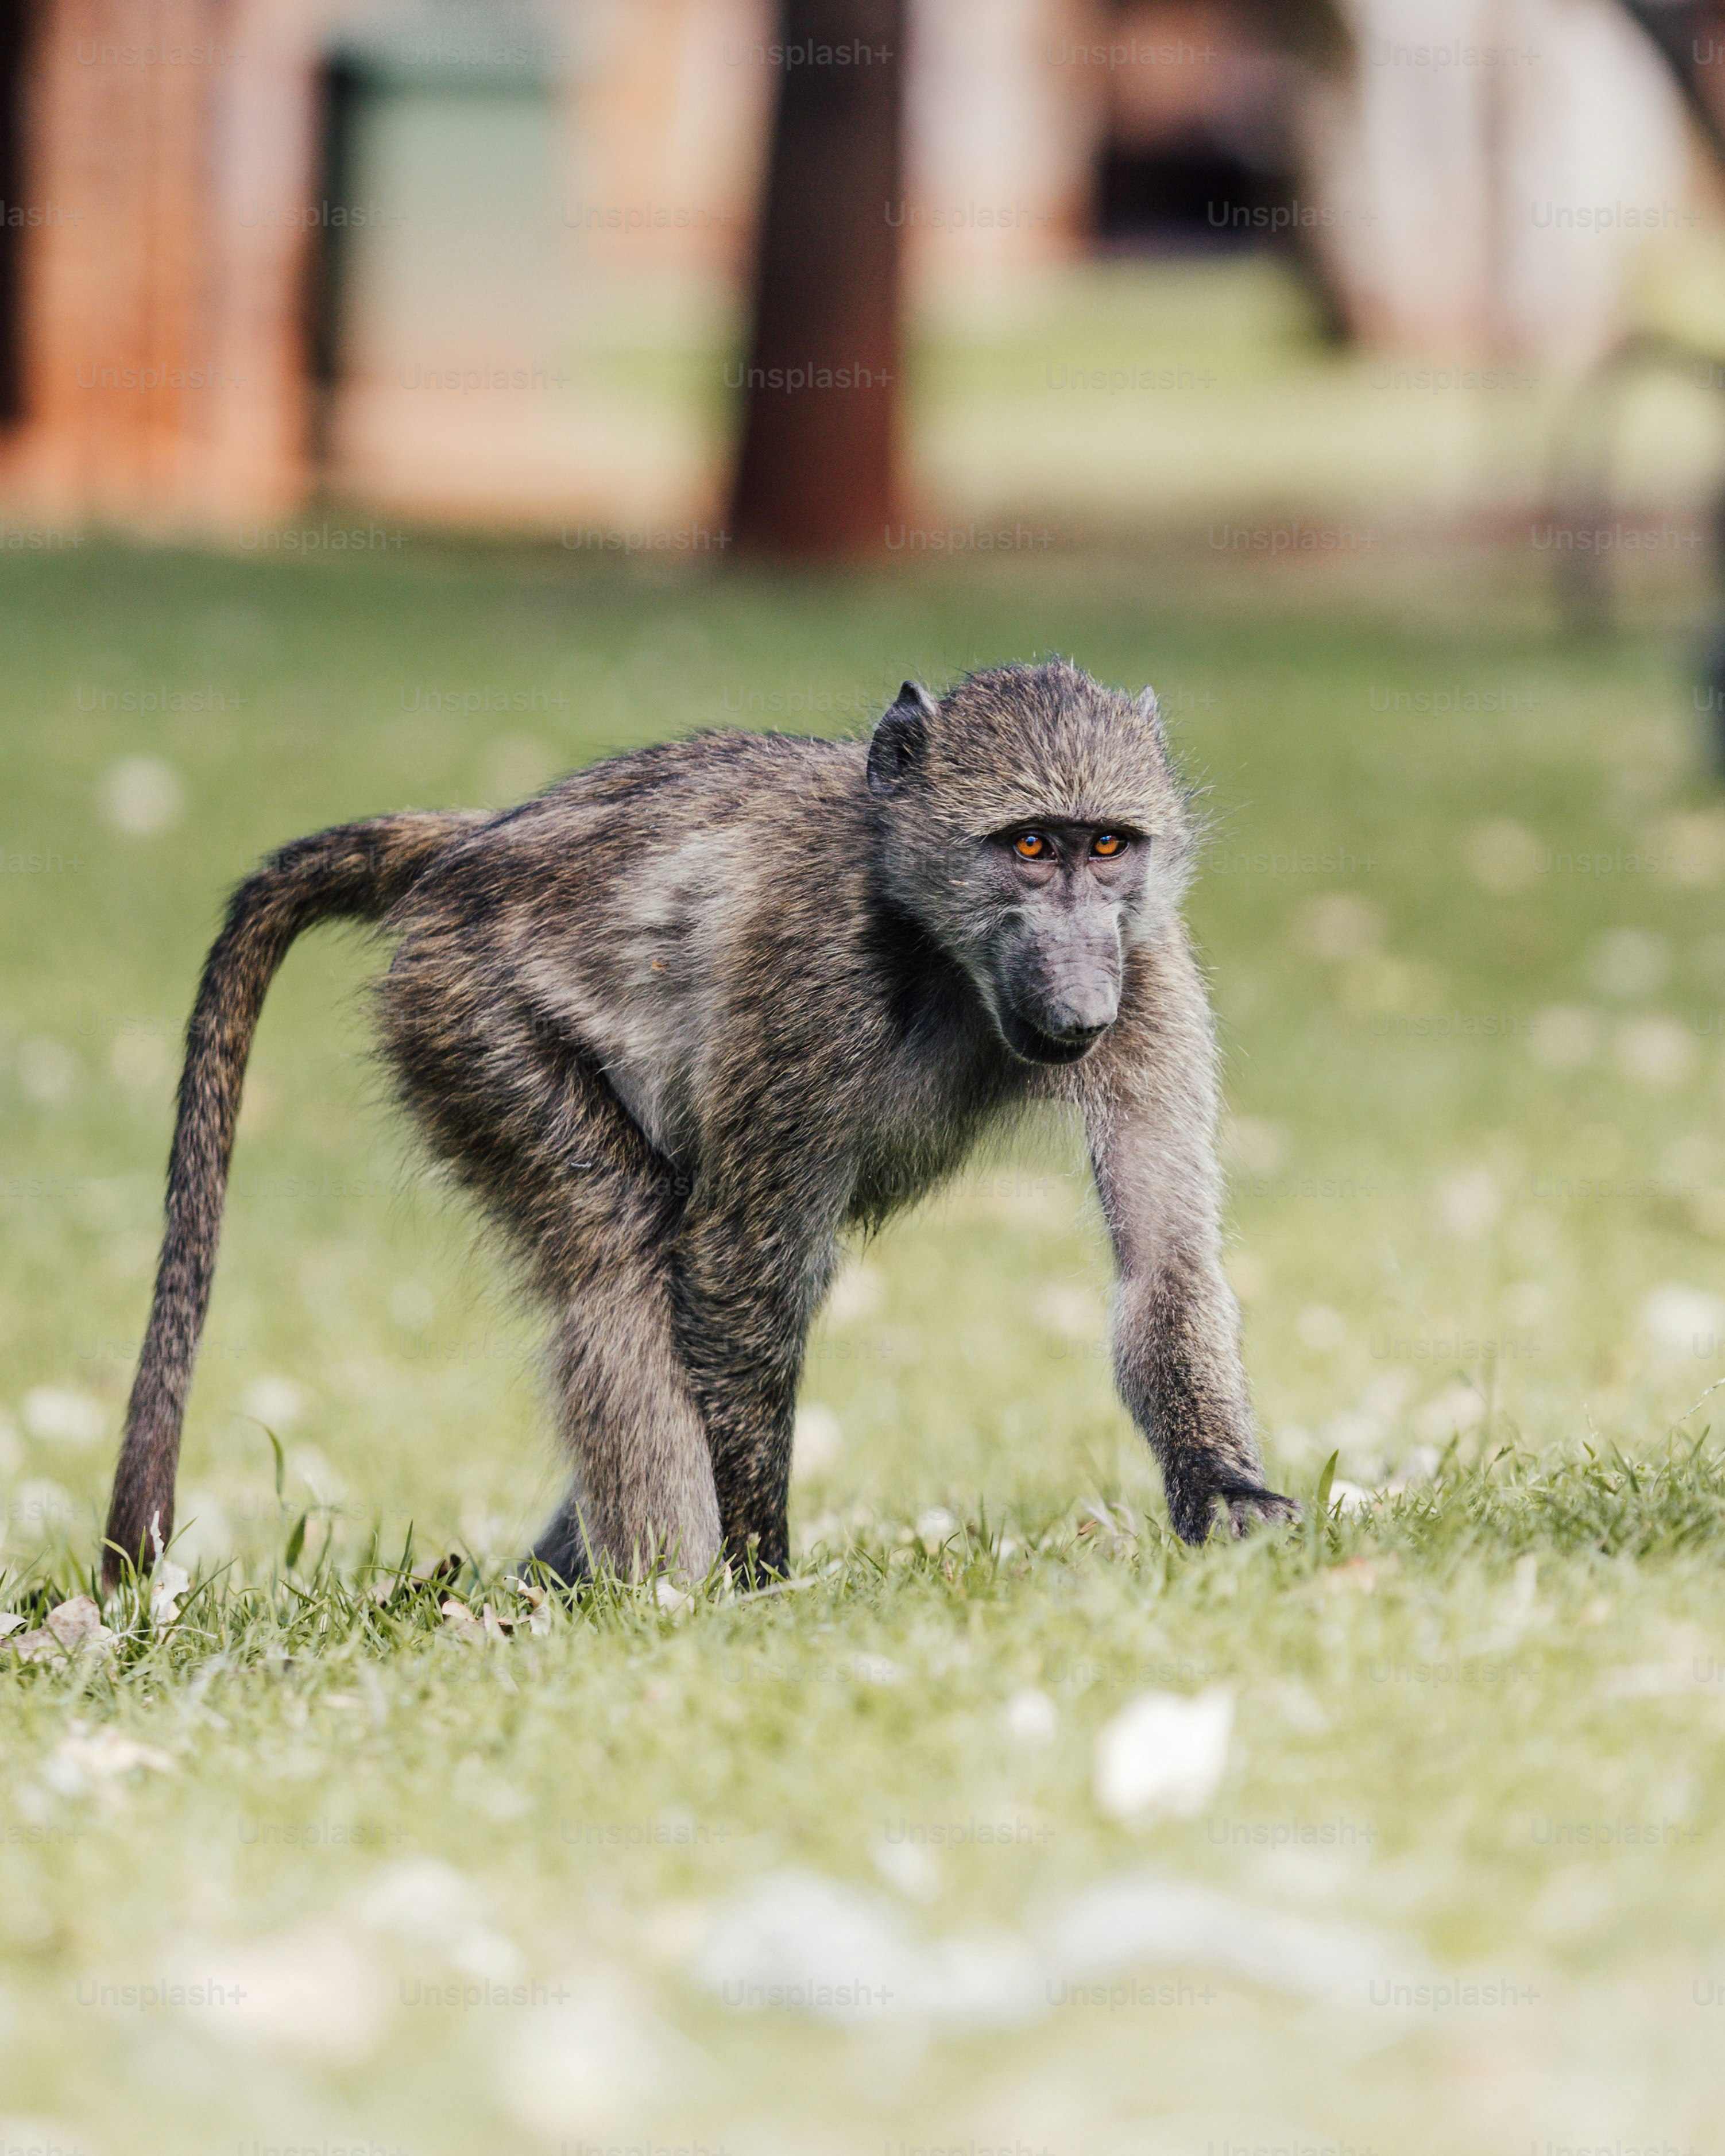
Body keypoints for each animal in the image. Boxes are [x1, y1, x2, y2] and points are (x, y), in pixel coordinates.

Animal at [101, 660, 1294, 1592]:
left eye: (1108, 849)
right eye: (1031, 847)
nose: (1081, 1002)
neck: (934, 943)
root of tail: (469, 847)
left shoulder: (1148, 971)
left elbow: (1161, 1267)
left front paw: (1226, 1495)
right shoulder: (807, 971)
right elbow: (733, 1276)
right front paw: (762, 1581)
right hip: (466, 1016)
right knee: (619, 1258)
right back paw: (671, 1597)